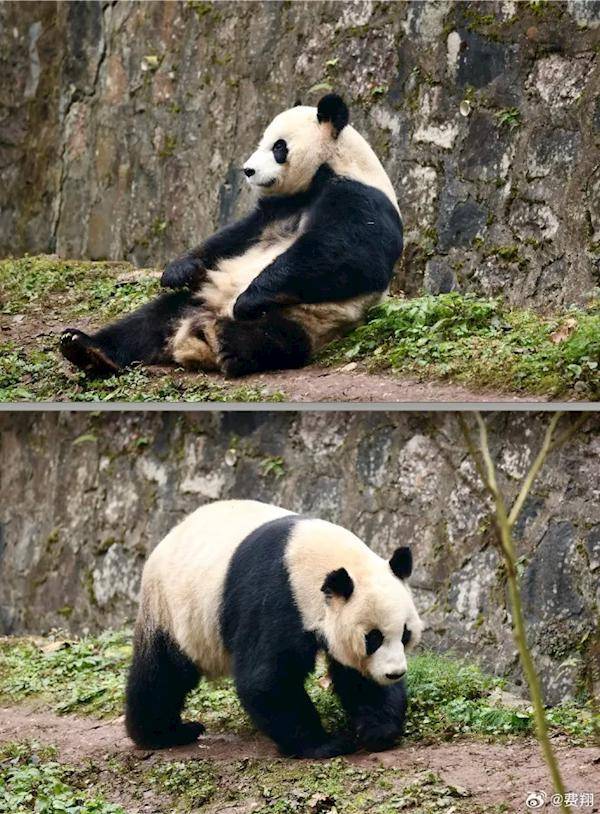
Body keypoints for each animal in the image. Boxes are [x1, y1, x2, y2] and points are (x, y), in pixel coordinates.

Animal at [60, 94, 403, 378]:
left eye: (279, 147)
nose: (248, 170)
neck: (327, 168)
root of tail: (197, 326)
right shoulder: (277, 209)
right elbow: (233, 237)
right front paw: (180, 270)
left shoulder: (359, 197)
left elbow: (351, 256)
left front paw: (250, 296)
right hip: (196, 298)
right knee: (147, 321)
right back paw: (86, 348)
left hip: (310, 318)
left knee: (272, 336)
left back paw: (228, 344)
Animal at [125, 500, 423, 759]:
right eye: (373, 638)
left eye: (405, 634)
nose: (395, 673)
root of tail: (169, 535)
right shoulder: (278, 597)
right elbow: (266, 678)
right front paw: (326, 744)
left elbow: (358, 676)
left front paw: (377, 730)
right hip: (172, 607)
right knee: (164, 672)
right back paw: (164, 734)